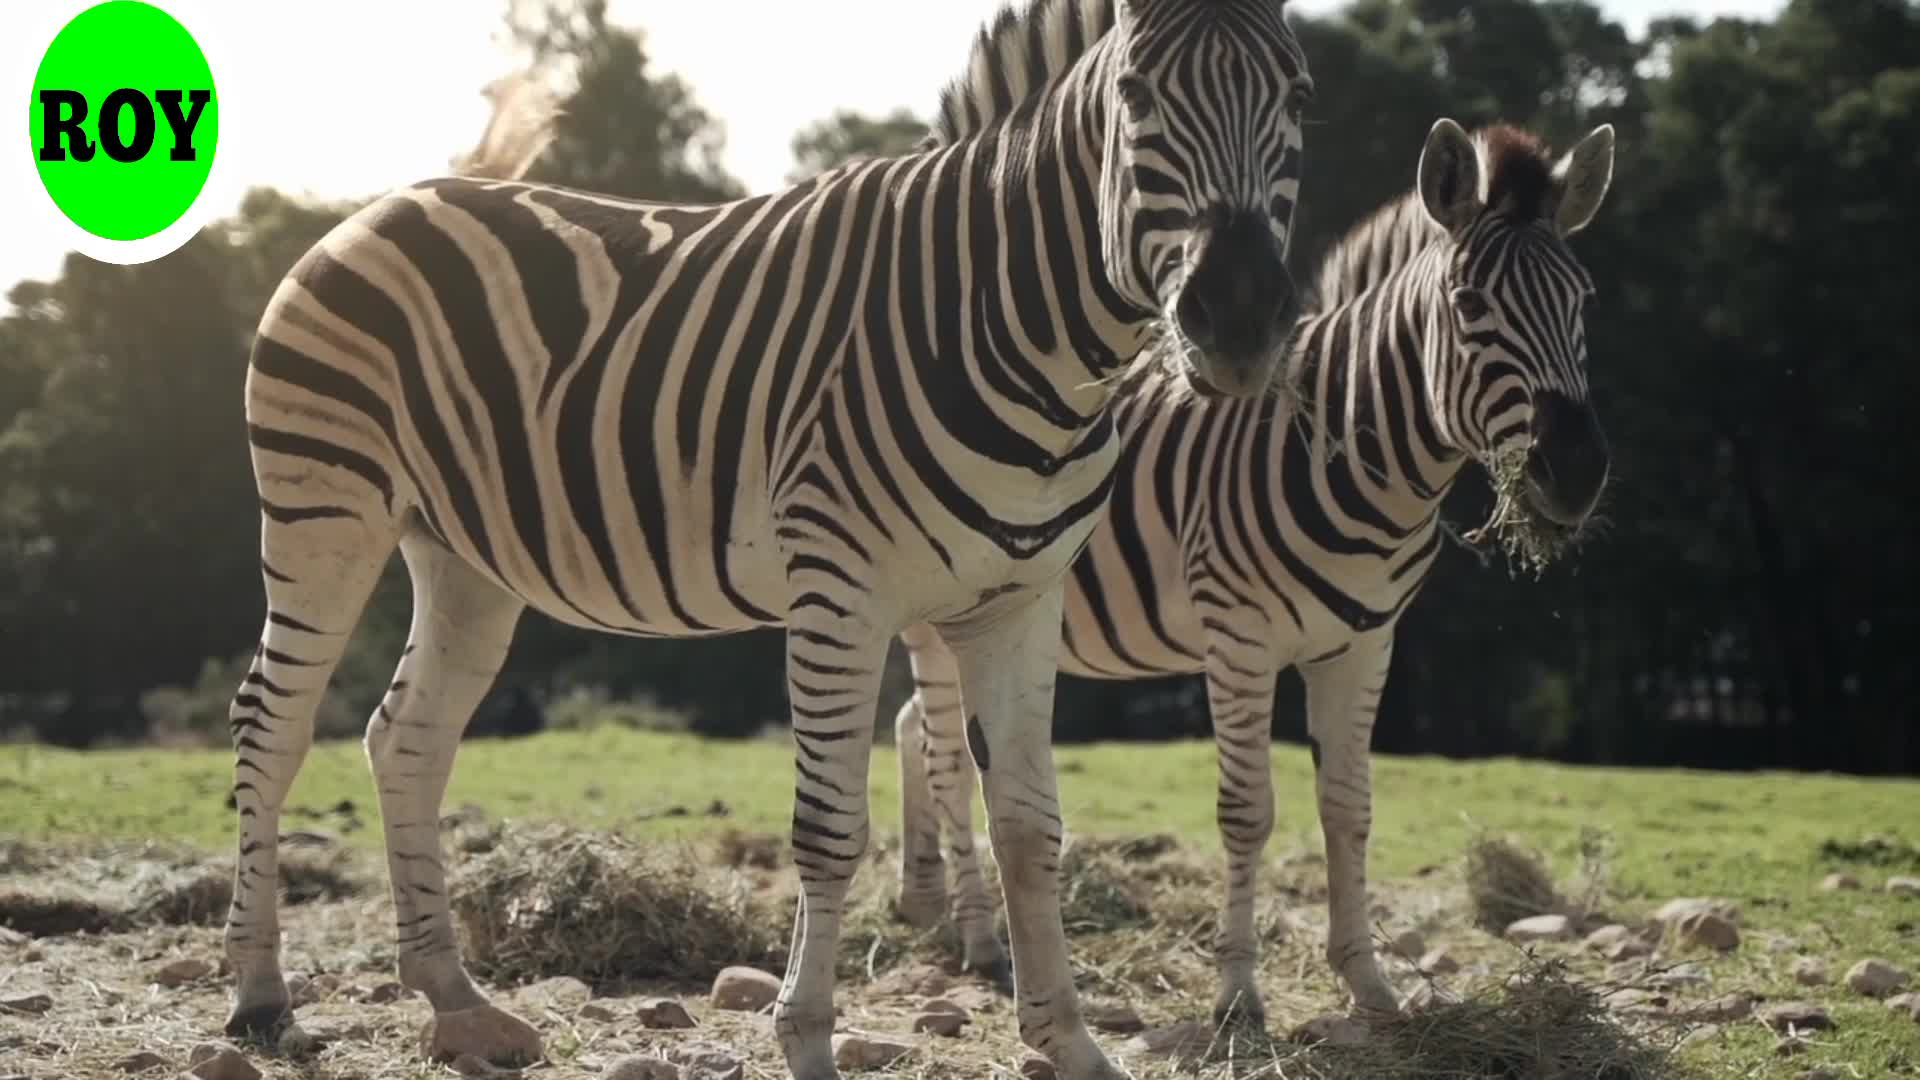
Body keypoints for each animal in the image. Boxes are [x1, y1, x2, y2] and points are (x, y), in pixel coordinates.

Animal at [220, 1, 1314, 1077]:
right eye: (1136, 96)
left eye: (1300, 94)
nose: (1240, 324)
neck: (1008, 321)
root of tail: (384, 204)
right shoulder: (840, 590)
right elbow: (830, 832)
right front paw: (809, 1040)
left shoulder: (1020, 600)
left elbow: (1031, 827)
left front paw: (1068, 1043)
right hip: (327, 507)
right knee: (270, 722)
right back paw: (262, 999)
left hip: (463, 557)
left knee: (405, 737)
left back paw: (455, 1000)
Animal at [892, 116, 1616, 1027]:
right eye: (1469, 305)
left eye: (1582, 301)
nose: (1576, 472)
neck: (1349, 456)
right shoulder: (1239, 641)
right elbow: (1247, 813)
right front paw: (1237, 991)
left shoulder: (1364, 644)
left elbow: (1348, 809)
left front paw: (1369, 985)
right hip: (941, 612)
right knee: (945, 757)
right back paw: (978, 937)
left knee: (913, 731)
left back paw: (924, 905)